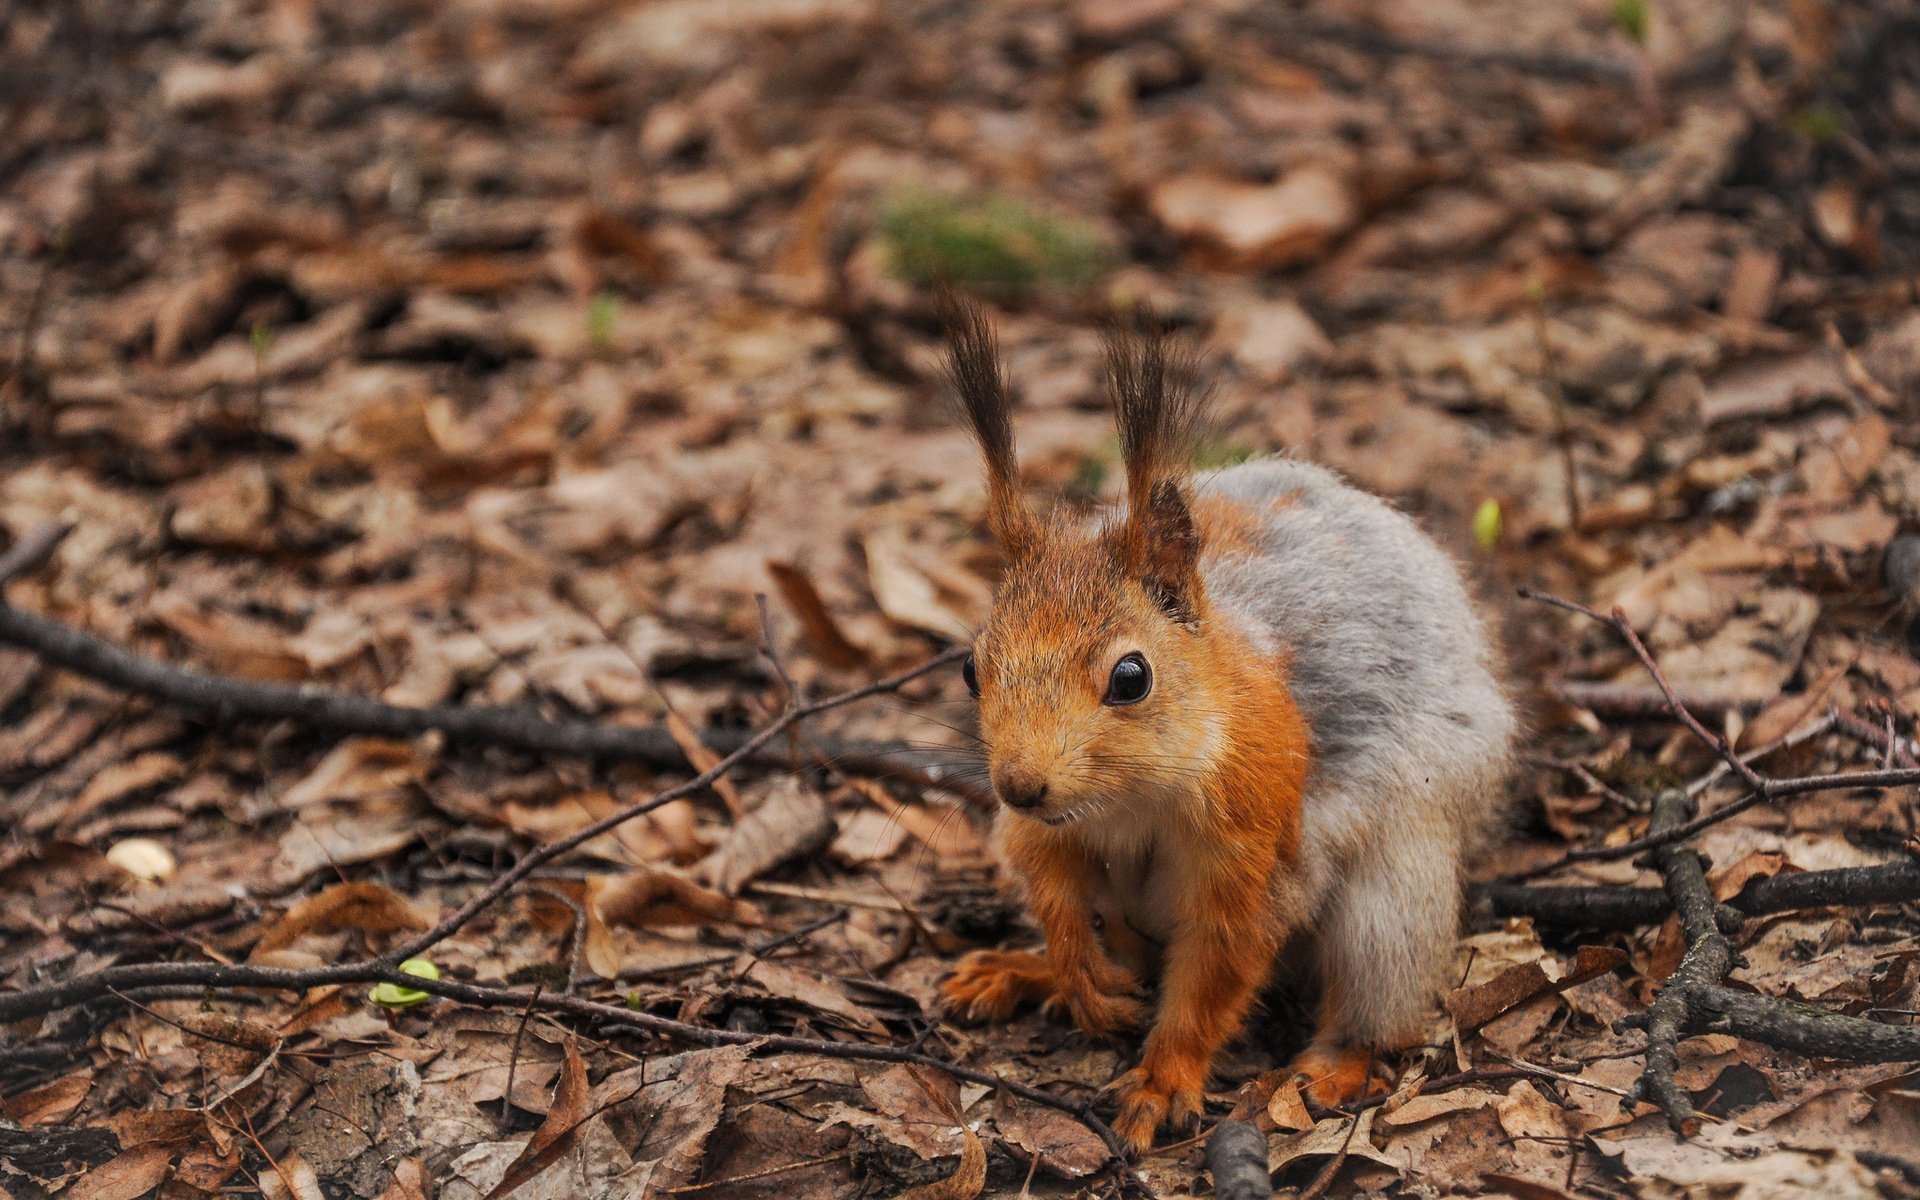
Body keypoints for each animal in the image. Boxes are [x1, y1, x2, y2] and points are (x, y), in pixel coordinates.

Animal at [934, 297, 1515, 1153]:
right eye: (972, 668)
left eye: (1131, 677)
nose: (1020, 785)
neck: (1130, 798)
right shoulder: (1045, 831)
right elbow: (1050, 883)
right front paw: (1072, 970)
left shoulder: (1255, 842)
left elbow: (1216, 973)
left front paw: (1163, 1081)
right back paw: (1025, 970)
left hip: (1395, 894)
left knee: (1380, 999)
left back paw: (1331, 1068)